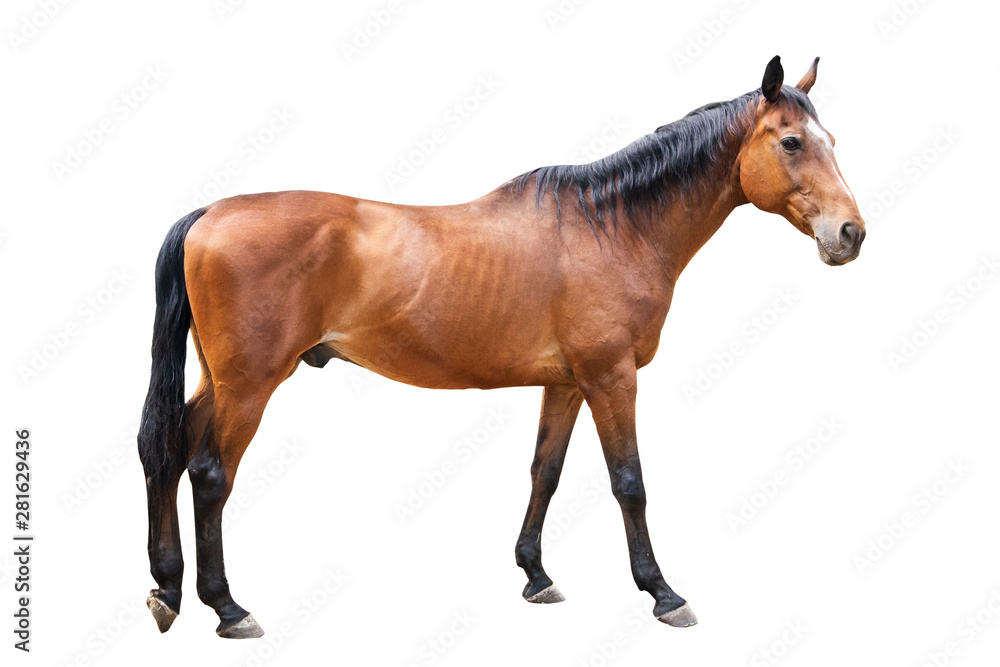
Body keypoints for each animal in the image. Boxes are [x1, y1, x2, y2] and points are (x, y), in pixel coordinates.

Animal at [138, 55, 865, 638]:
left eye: (831, 140)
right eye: (792, 141)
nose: (850, 233)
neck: (613, 226)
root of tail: (206, 216)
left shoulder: (567, 382)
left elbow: (546, 470)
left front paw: (535, 574)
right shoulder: (612, 377)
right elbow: (628, 481)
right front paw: (662, 592)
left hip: (221, 381)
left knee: (167, 450)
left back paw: (168, 590)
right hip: (251, 384)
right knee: (209, 472)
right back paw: (227, 607)